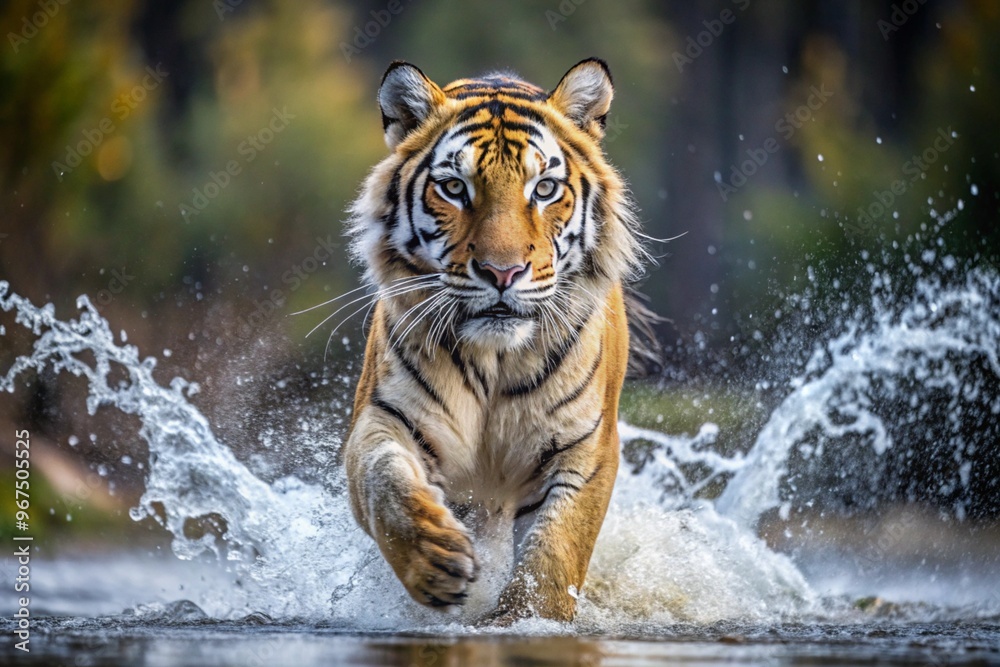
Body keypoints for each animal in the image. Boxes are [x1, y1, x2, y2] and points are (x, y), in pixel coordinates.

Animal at [342, 58, 652, 623]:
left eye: (545, 189)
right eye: (454, 188)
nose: (502, 272)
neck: (495, 359)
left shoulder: (585, 446)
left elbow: (557, 547)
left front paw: (529, 621)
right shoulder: (384, 417)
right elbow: (386, 482)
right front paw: (436, 560)